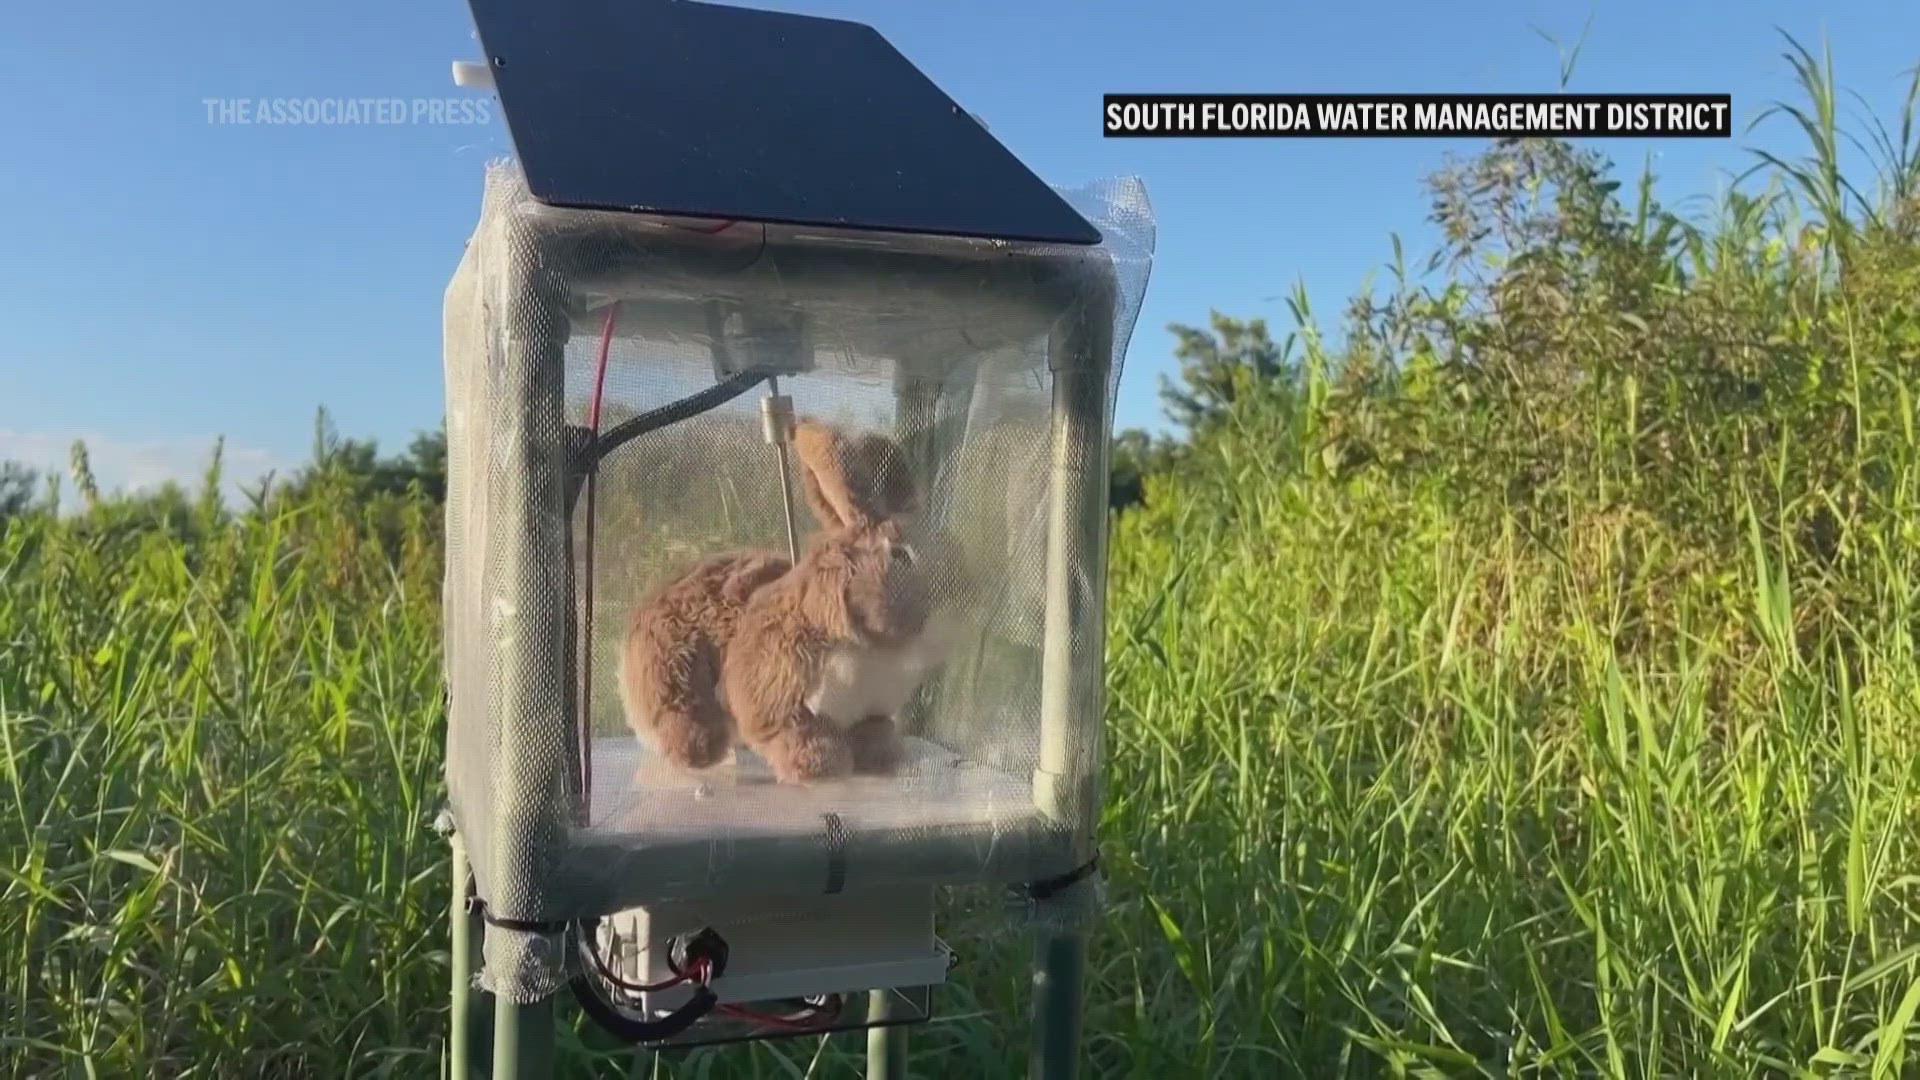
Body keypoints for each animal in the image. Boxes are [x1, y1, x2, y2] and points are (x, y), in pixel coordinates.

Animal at [721, 417, 964, 784]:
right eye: (900, 556)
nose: (961, 598)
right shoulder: (790, 692)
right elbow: (794, 731)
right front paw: (820, 768)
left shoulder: (876, 709)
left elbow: (875, 730)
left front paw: (883, 762)